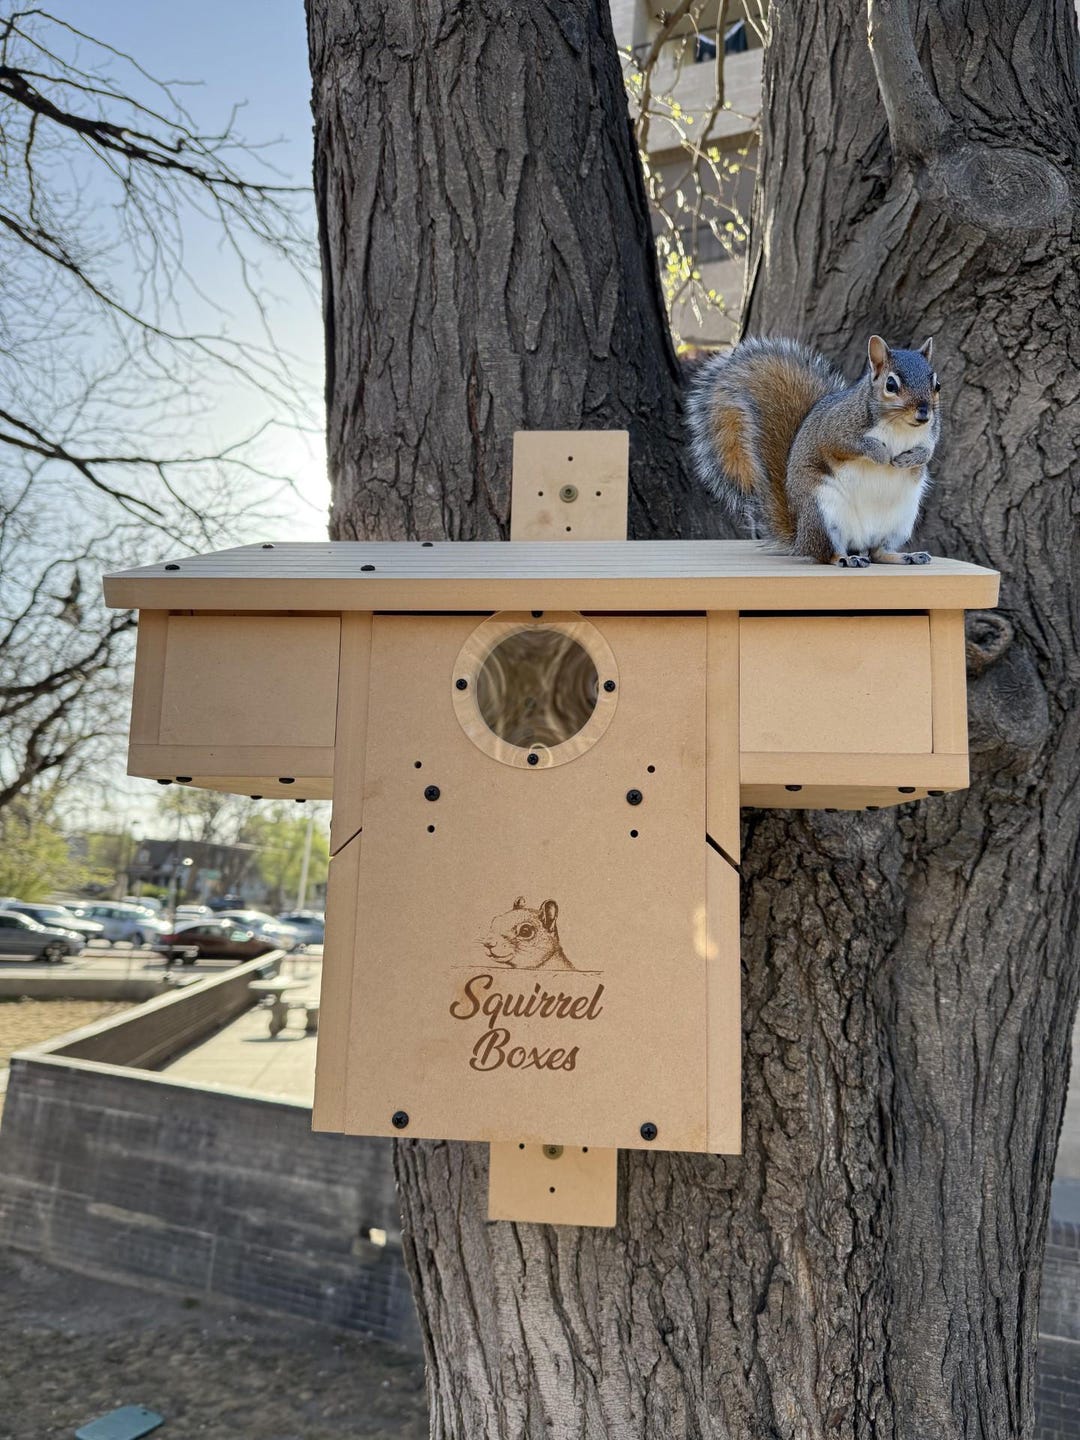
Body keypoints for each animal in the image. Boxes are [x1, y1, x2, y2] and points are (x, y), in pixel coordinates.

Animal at [686, 334, 941, 567]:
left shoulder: (931, 435)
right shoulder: (836, 429)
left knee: (878, 552)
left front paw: (911, 459)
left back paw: (906, 556)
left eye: (936, 385)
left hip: (900, 522)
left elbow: (928, 453)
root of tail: (800, 537)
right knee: (826, 553)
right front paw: (881, 453)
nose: (923, 412)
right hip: (824, 514)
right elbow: (846, 445)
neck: (900, 426)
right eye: (890, 385)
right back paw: (846, 559)